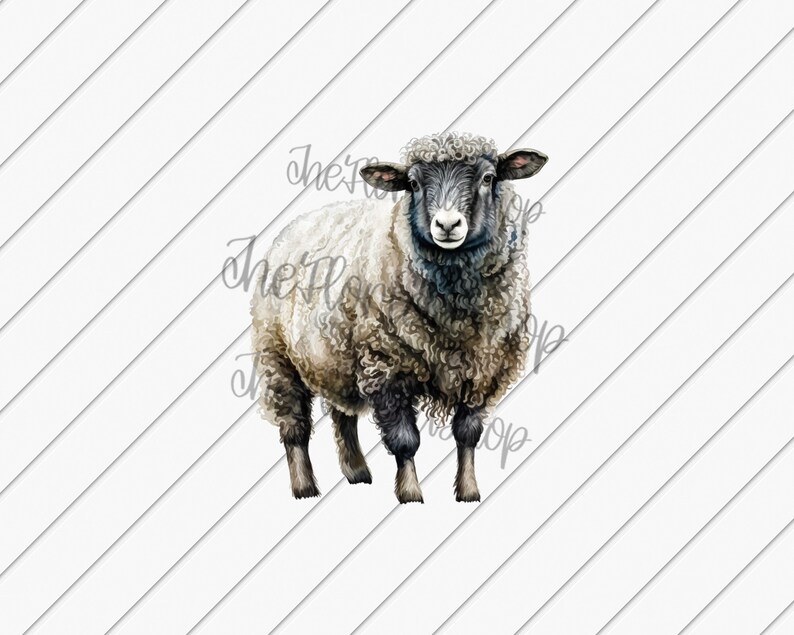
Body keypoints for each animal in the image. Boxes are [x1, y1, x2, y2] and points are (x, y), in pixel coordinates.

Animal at [251, 132, 547, 503]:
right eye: (414, 184)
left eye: (488, 178)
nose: (447, 225)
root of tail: (298, 224)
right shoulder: (387, 367)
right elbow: (405, 442)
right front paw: (410, 494)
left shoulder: (483, 371)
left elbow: (468, 434)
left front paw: (468, 491)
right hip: (277, 357)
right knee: (294, 427)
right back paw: (304, 487)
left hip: (335, 358)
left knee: (343, 416)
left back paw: (357, 472)